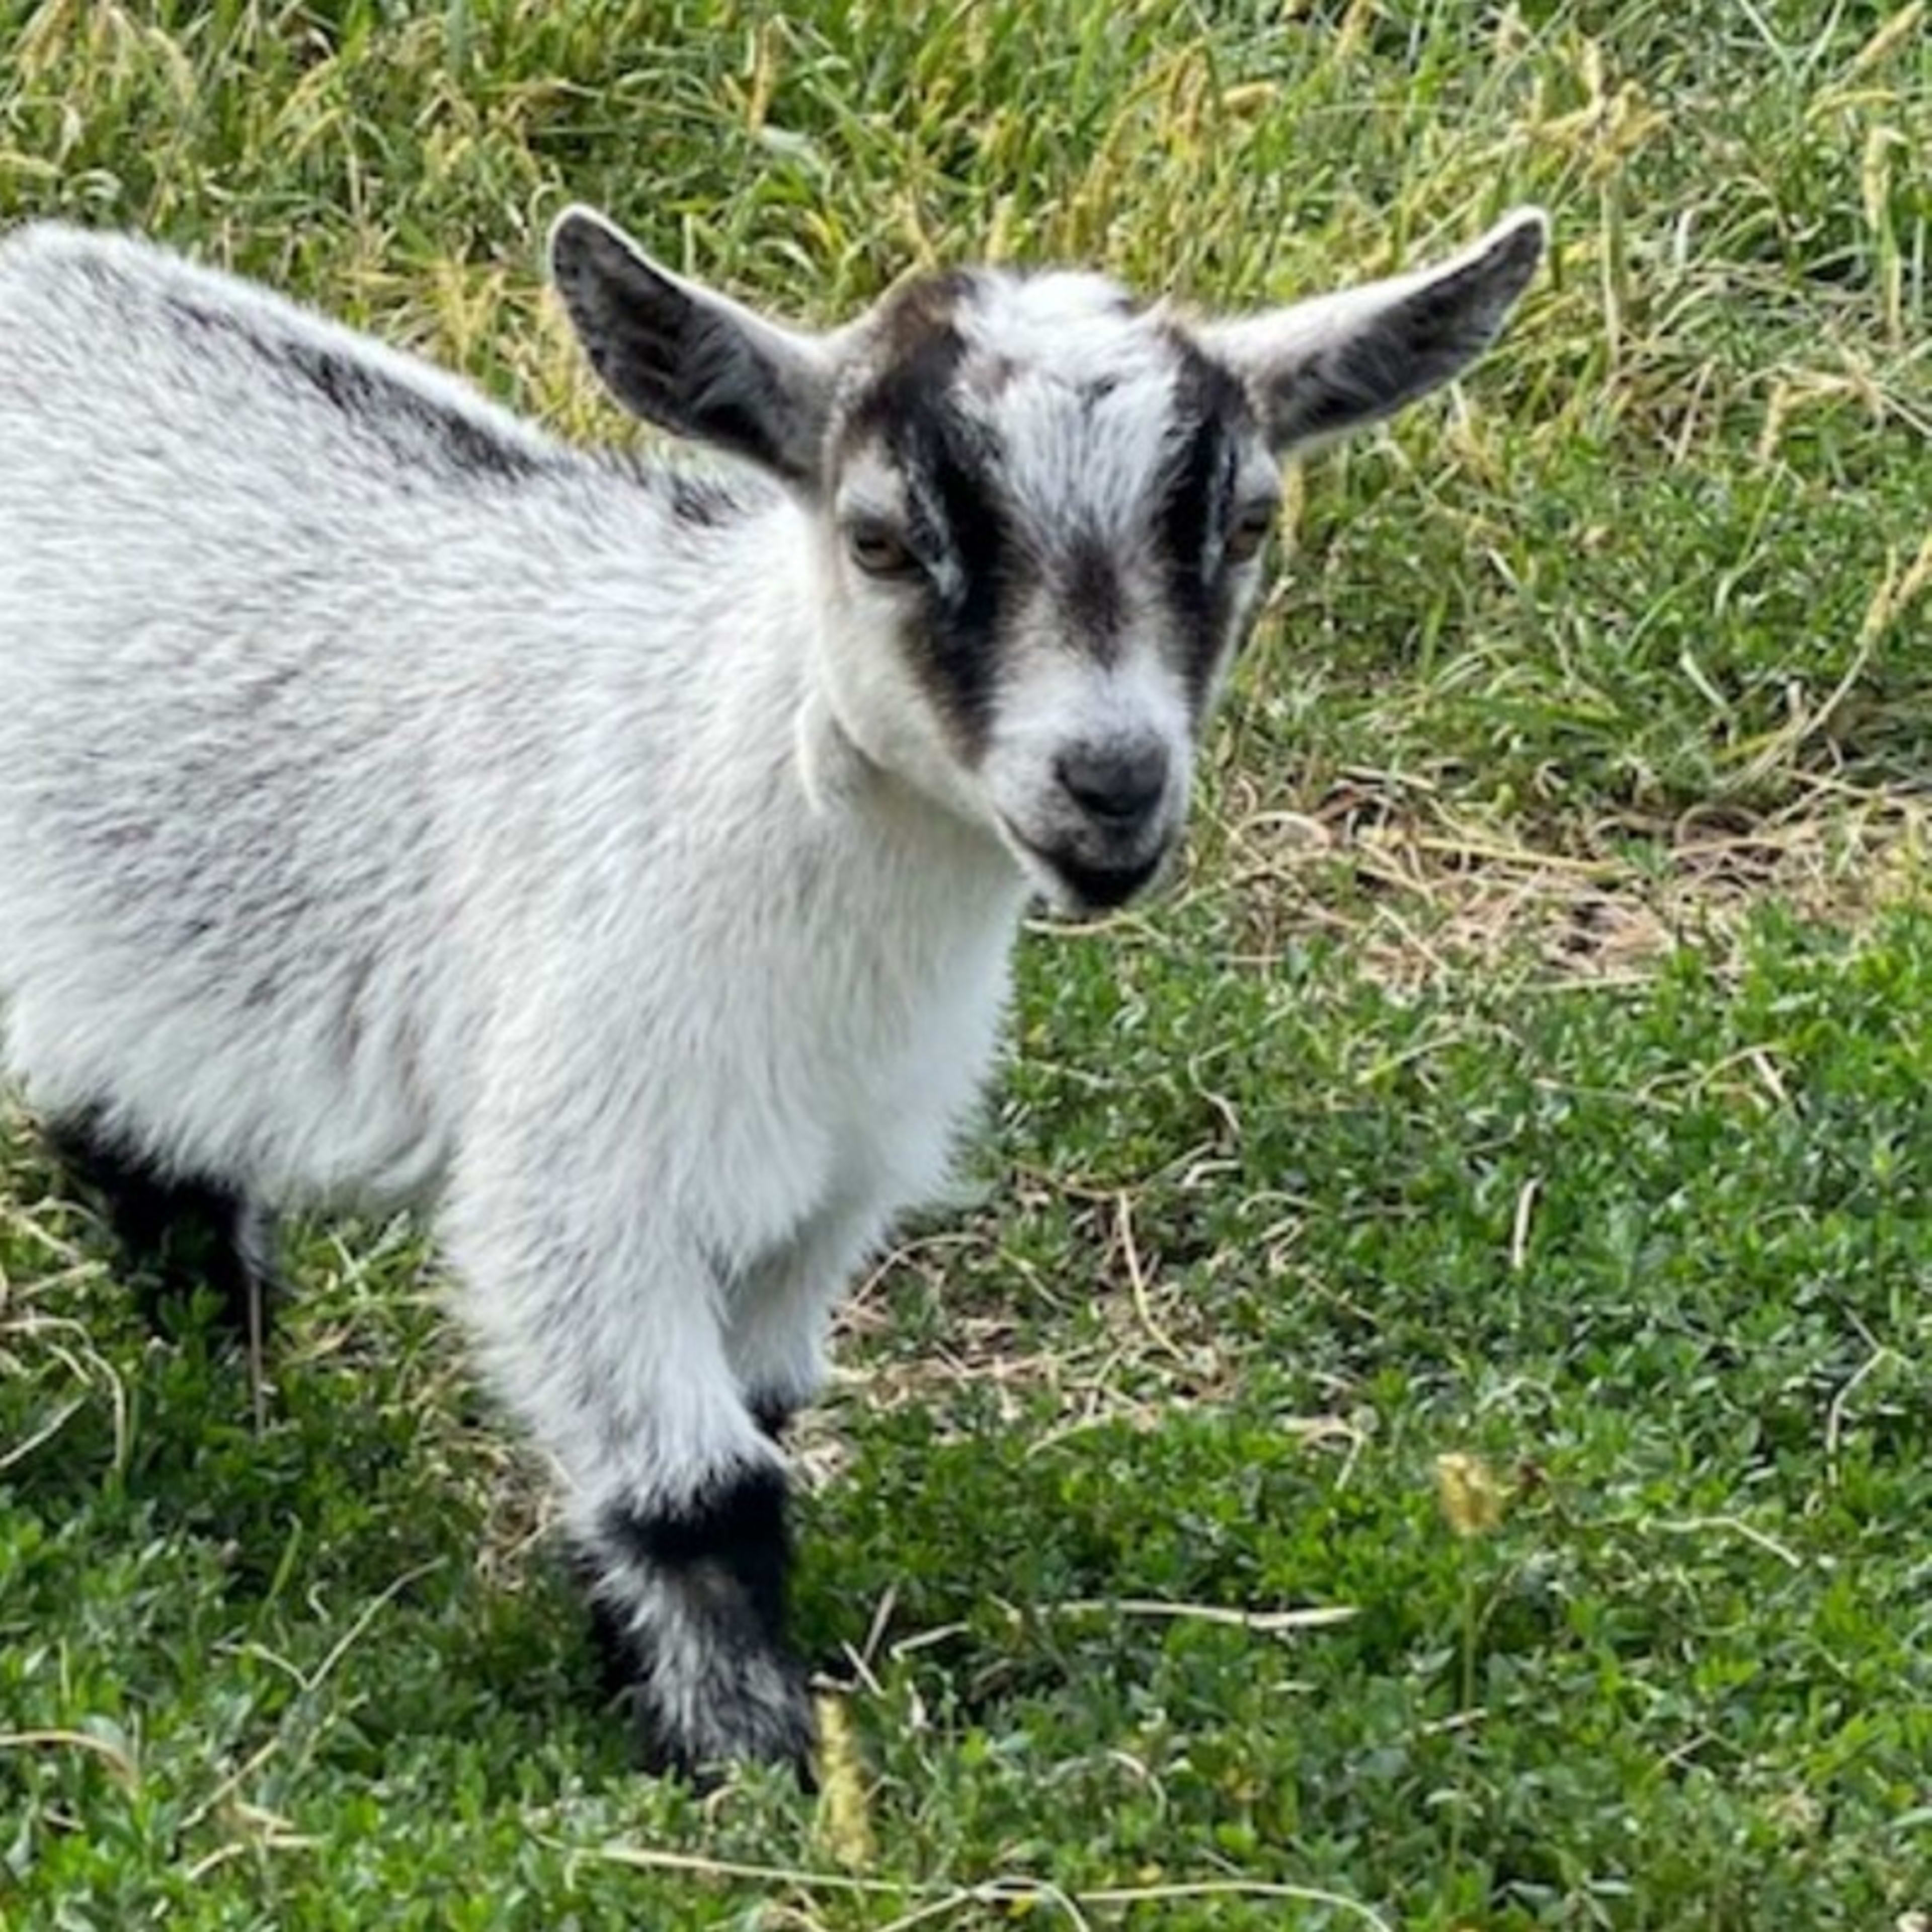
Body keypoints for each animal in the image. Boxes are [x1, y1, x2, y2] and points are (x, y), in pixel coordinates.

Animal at [0, 201, 1545, 1776]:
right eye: (877, 539)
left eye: (1246, 525)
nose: (1111, 785)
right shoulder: (577, 1178)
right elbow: (701, 1489)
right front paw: (757, 1767)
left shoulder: (829, 1197)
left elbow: (760, 1417)